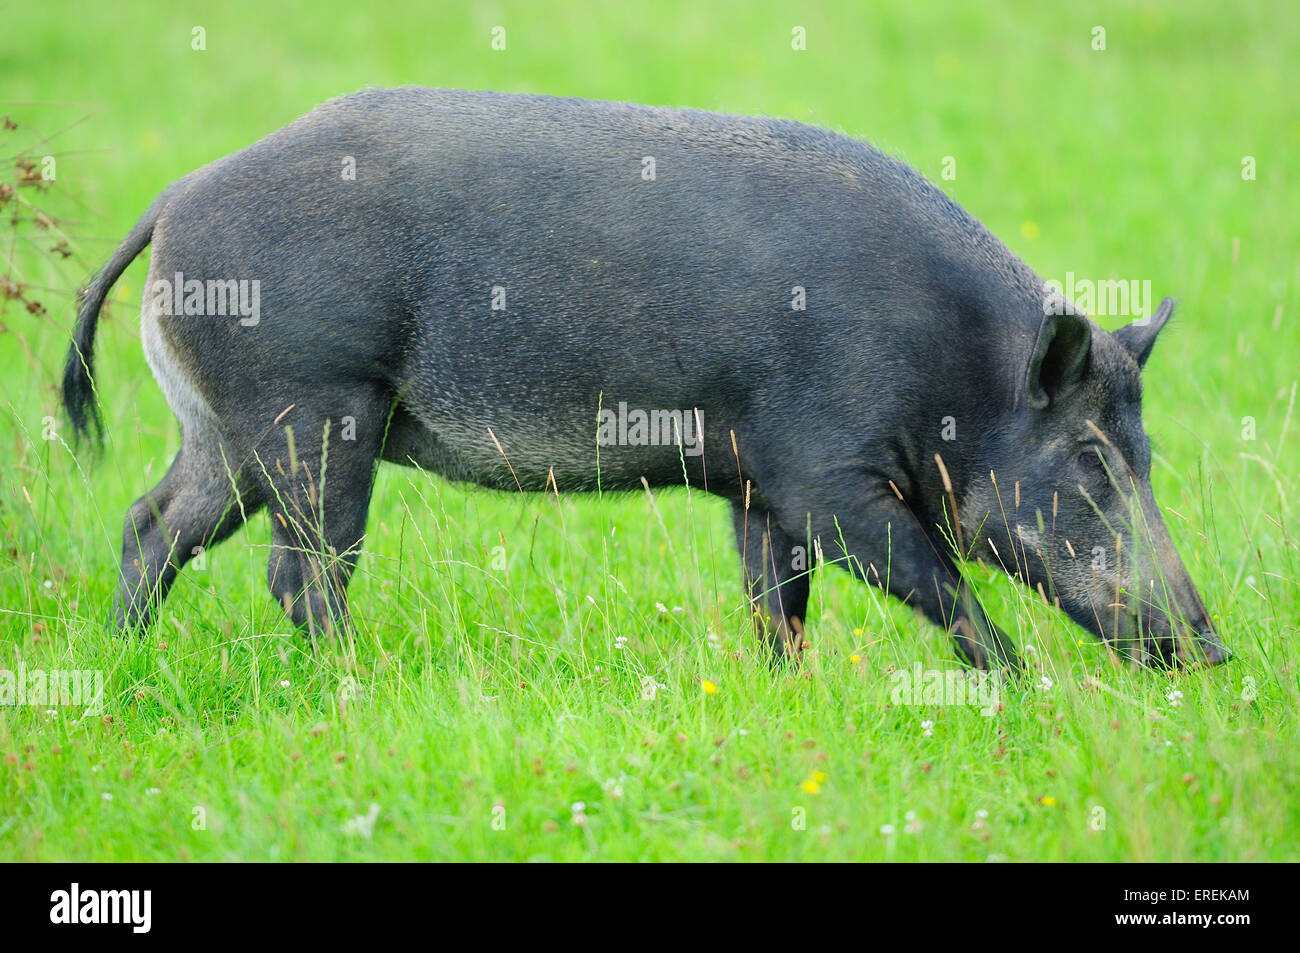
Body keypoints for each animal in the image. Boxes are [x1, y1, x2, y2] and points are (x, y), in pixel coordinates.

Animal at [62, 87, 1229, 671]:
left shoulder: (756, 485)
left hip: (223, 431)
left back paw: (124, 660)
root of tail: (173, 199)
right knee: (300, 572)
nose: (1211, 649)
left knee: (149, 523)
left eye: (1146, 452)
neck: (956, 376)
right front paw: (1020, 689)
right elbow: (940, 585)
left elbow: (777, 604)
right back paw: (355, 684)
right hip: (316, 407)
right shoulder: (827, 472)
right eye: (1090, 458)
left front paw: (787, 693)